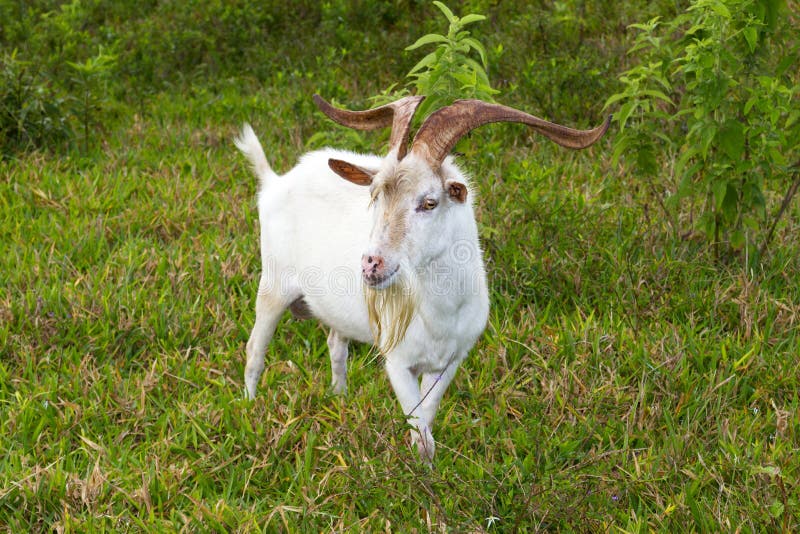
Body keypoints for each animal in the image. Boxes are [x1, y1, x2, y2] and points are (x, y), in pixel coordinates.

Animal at [235, 95, 610, 462]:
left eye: (429, 202)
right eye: (375, 196)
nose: (371, 264)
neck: (441, 312)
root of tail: (275, 182)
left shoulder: (450, 361)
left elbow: (426, 420)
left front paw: (427, 469)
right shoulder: (397, 361)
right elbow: (419, 427)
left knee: (335, 346)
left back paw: (339, 399)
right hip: (272, 287)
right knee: (255, 351)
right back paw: (250, 411)